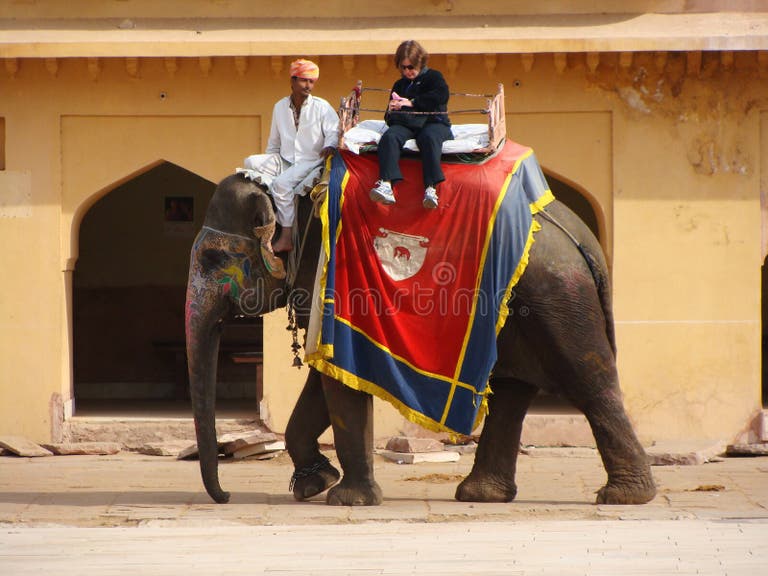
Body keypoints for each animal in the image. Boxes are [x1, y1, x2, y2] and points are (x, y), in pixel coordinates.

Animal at [185, 169, 657, 507]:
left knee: (587, 381)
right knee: (512, 389)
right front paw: (314, 484)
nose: (225, 496)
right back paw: (482, 496)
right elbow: (326, 378)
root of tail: (583, 239)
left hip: (557, 295)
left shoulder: (340, 279)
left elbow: (338, 381)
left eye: (212, 258)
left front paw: (347, 500)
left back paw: (624, 497)